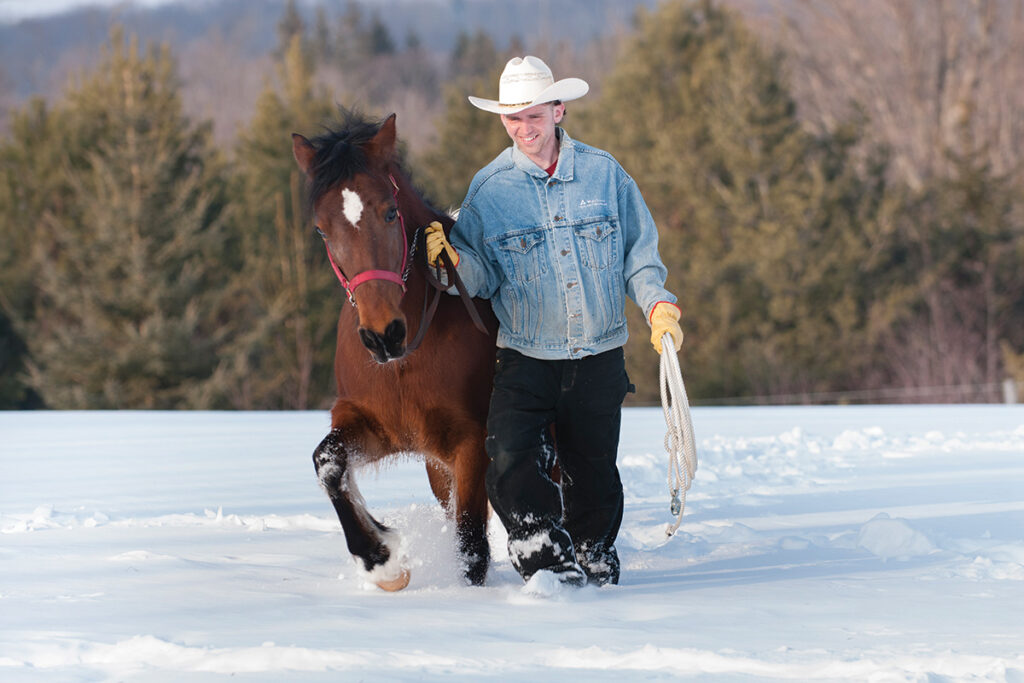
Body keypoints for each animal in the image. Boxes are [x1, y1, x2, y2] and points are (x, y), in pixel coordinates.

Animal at [291, 111, 497, 590]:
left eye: (390, 212)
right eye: (321, 229)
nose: (384, 335)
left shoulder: (472, 442)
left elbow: (472, 548)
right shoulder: (371, 425)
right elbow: (327, 464)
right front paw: (381, 557)